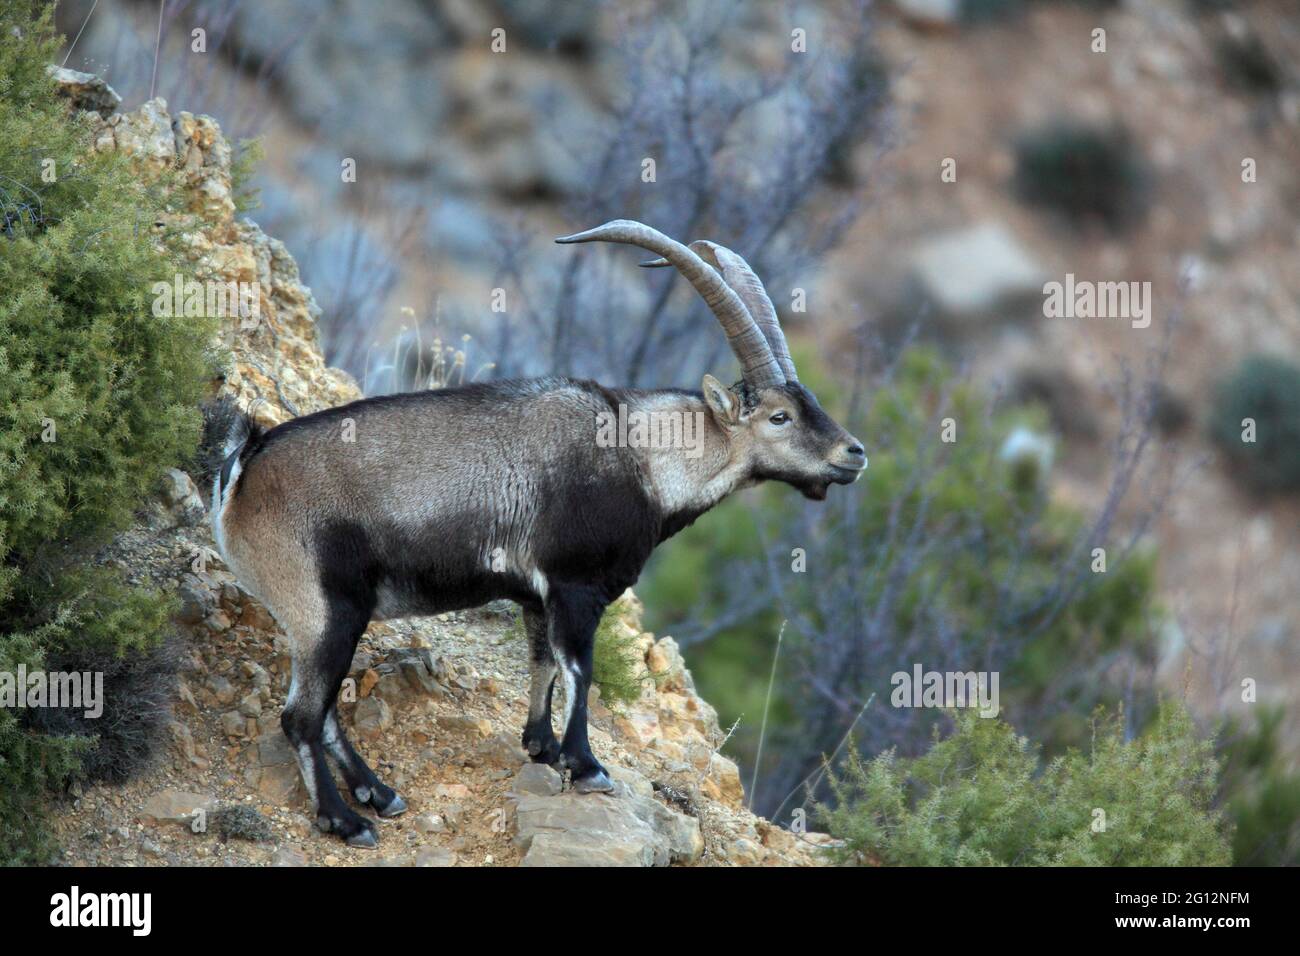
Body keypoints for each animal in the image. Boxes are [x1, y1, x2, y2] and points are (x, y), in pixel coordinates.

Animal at [208, 220, 866, 847]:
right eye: (779, 416)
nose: (852, 454)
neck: (639, 455)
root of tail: (245, 468)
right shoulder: (576, 585)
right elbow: (579, 668)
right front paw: (586, 765)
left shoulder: (534, 595)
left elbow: (543, 665)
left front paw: (542, 748)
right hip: (325, 610)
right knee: (301, 717)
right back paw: (346, 821)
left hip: (326, 619)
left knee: (322, 713)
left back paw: (381, 793)